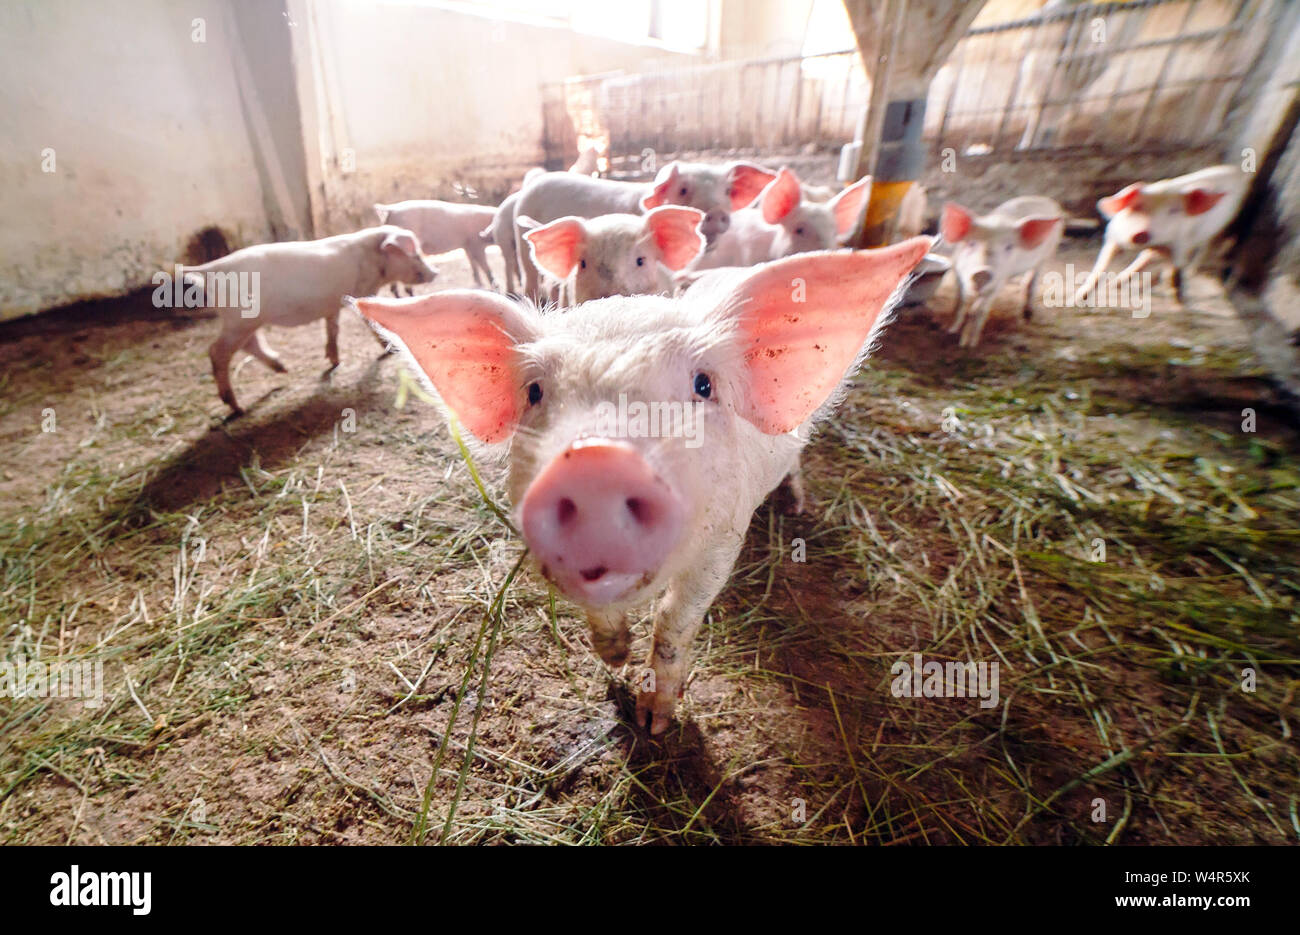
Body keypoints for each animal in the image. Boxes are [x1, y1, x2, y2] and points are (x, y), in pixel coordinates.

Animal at [189, 226, 437, 415]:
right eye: (414, 254)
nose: (435, 273)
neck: (374, 260)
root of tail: (210, 269)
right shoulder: (364, 290)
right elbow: (368, 320)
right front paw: (388, 349)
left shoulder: (333, 304)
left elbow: (333, 328)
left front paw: (335, 362)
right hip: (239, 319)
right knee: (217, 351)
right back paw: (237, 408)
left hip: (245, 320)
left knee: (250, 344)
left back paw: (282, 369)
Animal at [350, 237, 931, 734]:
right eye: (535, 392)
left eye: (704, 385)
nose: (595, 462)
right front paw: (614, 660)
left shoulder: (724, 540)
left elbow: (675, 620)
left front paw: (655, 723)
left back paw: (794, 504)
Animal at [940, 196, 1064, 348]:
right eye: (971, 243)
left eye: (1009, 247)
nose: (983, 272)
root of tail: (1048, 201)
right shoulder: (956, 270)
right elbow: (960, 302)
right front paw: (951, 330)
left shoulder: (999, 282)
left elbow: (979, 309)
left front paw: (969, 345)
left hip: (1048, 254)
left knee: (1033, 280)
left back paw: (1028, 315)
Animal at [1073, 164, 1248, 307]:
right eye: (1137, 205)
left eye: (1174, 211)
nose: (1142, 233)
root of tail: (1233, 169)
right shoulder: (1113, 235)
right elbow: (1099, 268)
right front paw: (1077, 299)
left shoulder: (1180, 245)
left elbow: (1176, 273)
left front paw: (1180, 303)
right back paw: (1117, 283)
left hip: (1217, 231)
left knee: (1205, 250)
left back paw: (1190, 273)